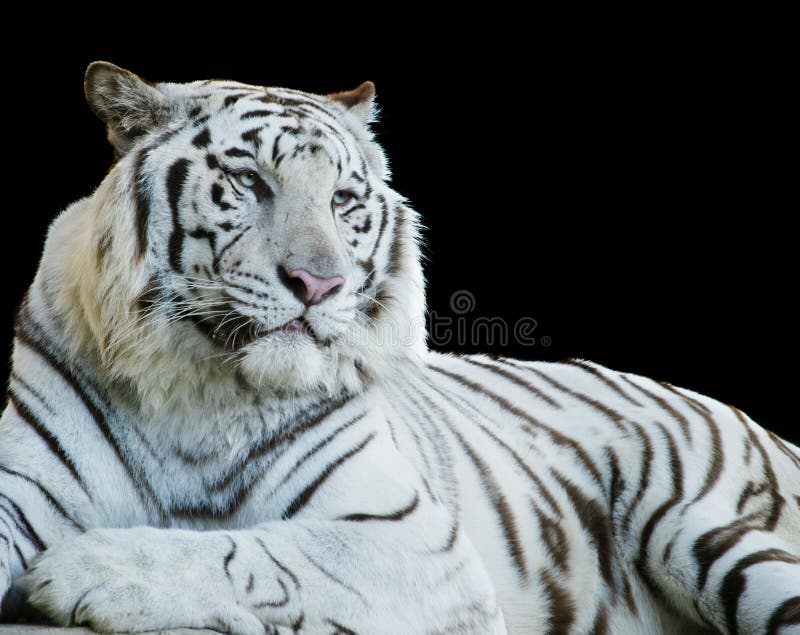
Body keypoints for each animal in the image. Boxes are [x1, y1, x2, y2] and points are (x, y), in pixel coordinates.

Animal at [0, 61, 798, 635]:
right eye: (249, 181)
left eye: (343, 201)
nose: (319, 283)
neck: (201, 390)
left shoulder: (412, 538)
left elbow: (259, 552)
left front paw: (88, 568)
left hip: (711, 528)